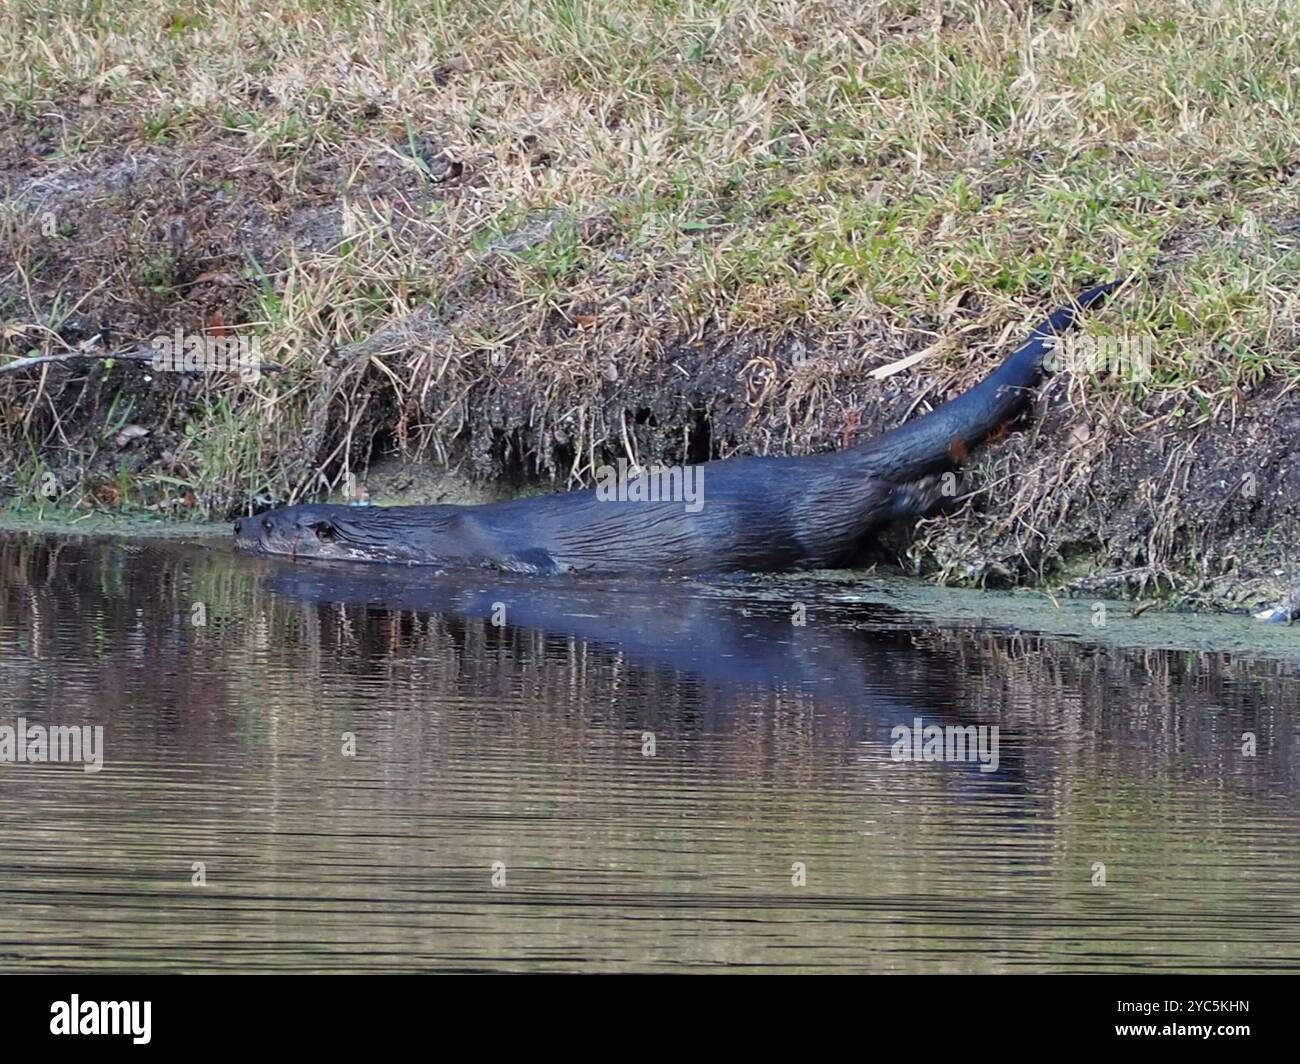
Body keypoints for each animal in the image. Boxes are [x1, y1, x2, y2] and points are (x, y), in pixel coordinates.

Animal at [235, 280, 1122, 574]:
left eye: (275, 521)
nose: (241, 524)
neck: (423, 535)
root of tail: (825, 461)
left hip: (815, 517)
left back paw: (946, 496)